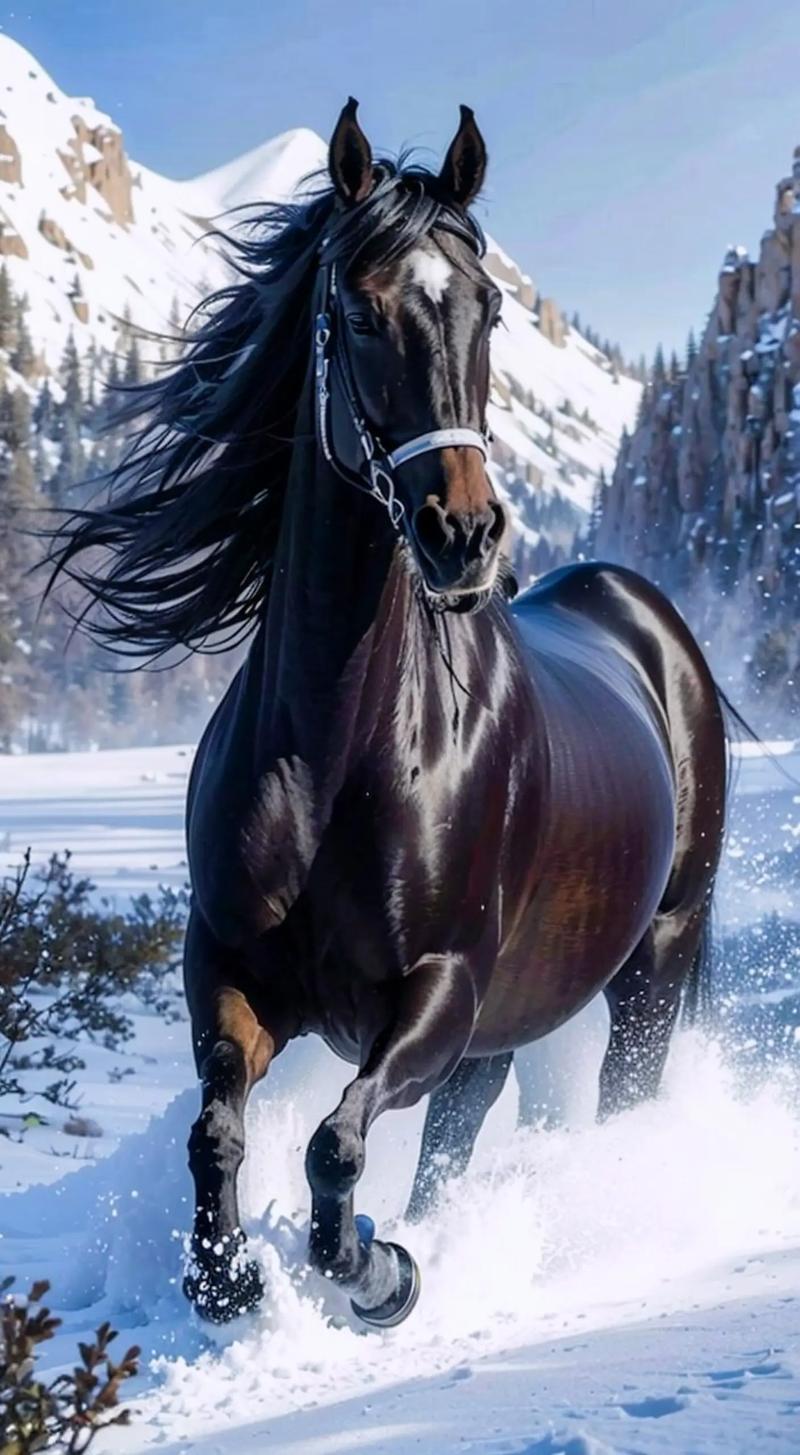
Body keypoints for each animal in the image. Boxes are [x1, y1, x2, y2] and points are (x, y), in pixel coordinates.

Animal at [49, 100, 726, 1329]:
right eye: (356, 311)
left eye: (489, 306)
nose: (462, 534)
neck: (338, 747)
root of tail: (644, 619)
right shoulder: (230, 968)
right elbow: (217, 1135)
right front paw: (226, 1278)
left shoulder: (438, 990)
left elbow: (333, 1146)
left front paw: (377, 1273)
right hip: (521, 1008)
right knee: (460, 1125)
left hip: (656, 956)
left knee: (610, 1098)